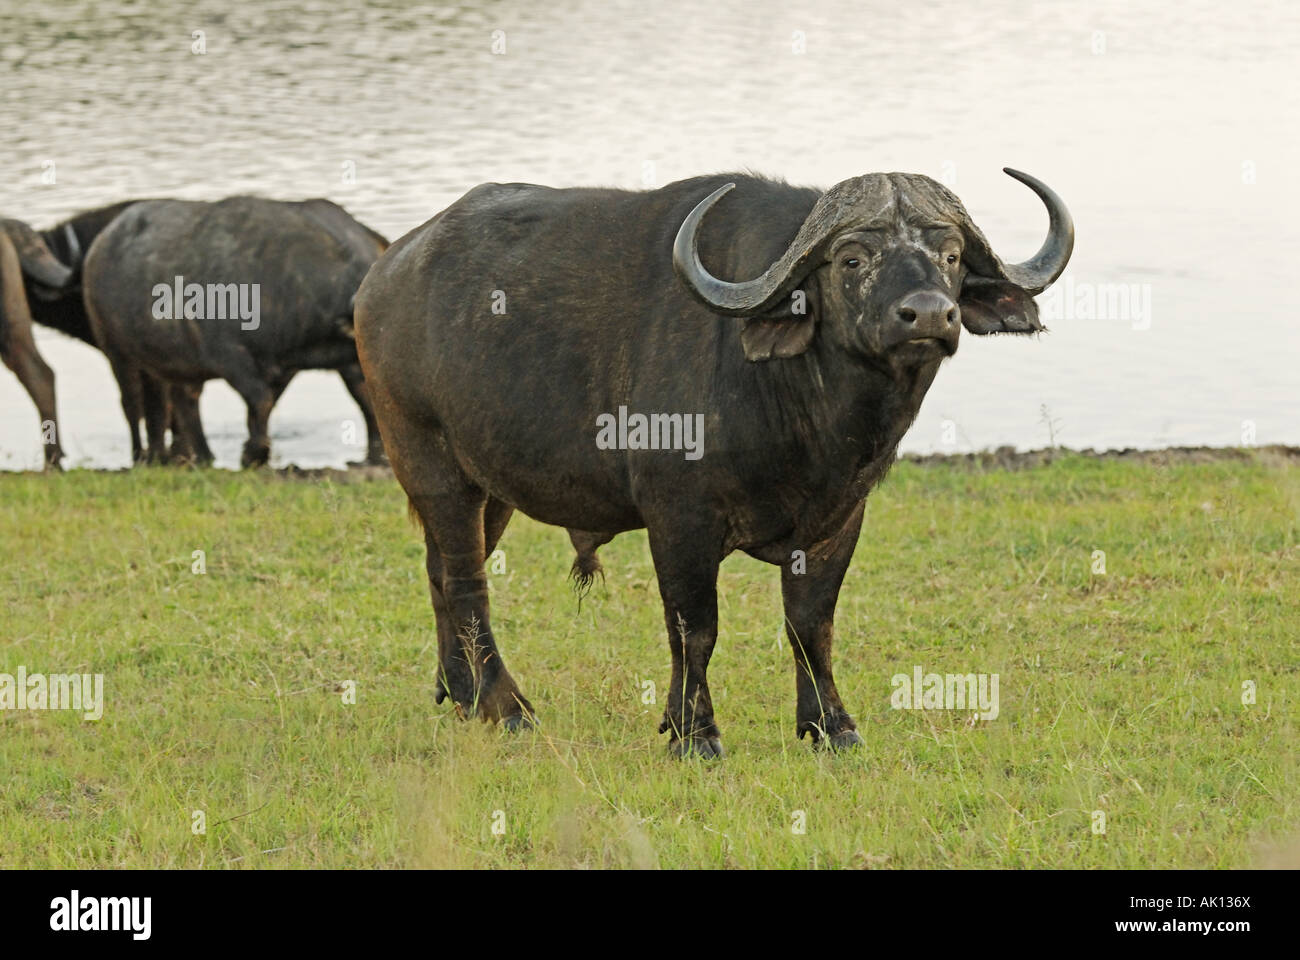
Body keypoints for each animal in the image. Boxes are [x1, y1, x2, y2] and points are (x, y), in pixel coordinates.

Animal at [83, 197, 389, 467]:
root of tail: (100, 244)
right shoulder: (230, 358)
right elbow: (260, 399)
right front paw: (254, 453)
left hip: (171, 363)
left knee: (179, 403)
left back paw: (198, 454)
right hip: (118, 353)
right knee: (133, 404)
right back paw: (141, 456)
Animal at [354, 168, 1073, 756]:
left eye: (950, 256)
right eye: (851, 258)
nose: (928, 315)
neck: (807, 414)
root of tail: (383, 278)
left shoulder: (840, 520)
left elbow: (812, 625)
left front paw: (831, 726)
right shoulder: (679, 522)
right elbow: (695, 629)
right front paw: (693, 733)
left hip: (491, 487)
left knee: (440, 574)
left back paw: (458, 692)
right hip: (430, 464)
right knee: (467, 584)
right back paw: (505, 706)